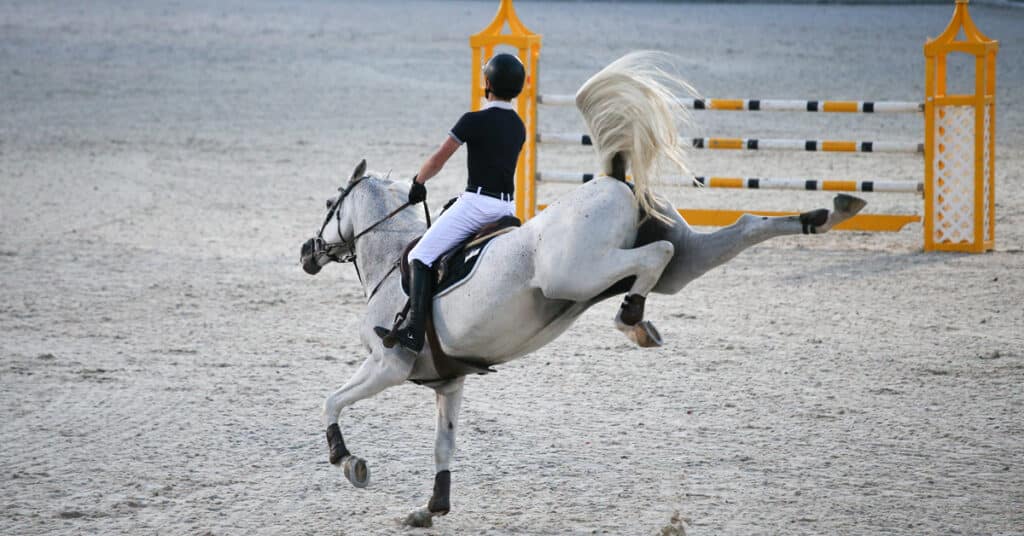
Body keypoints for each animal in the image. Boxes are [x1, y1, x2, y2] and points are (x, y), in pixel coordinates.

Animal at [306, 52, 866, 527]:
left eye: (332, 203)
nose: (307, 253)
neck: (389, 261)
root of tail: (612, 179)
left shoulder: (389, 363)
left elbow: (331, 401)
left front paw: (347, 460)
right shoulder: (449, 382)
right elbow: (443, 446)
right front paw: (430, 509)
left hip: (575, 274)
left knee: (654, 258)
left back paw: (632, 318)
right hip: (685, 263)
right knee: (739, 228)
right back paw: (827, 212)